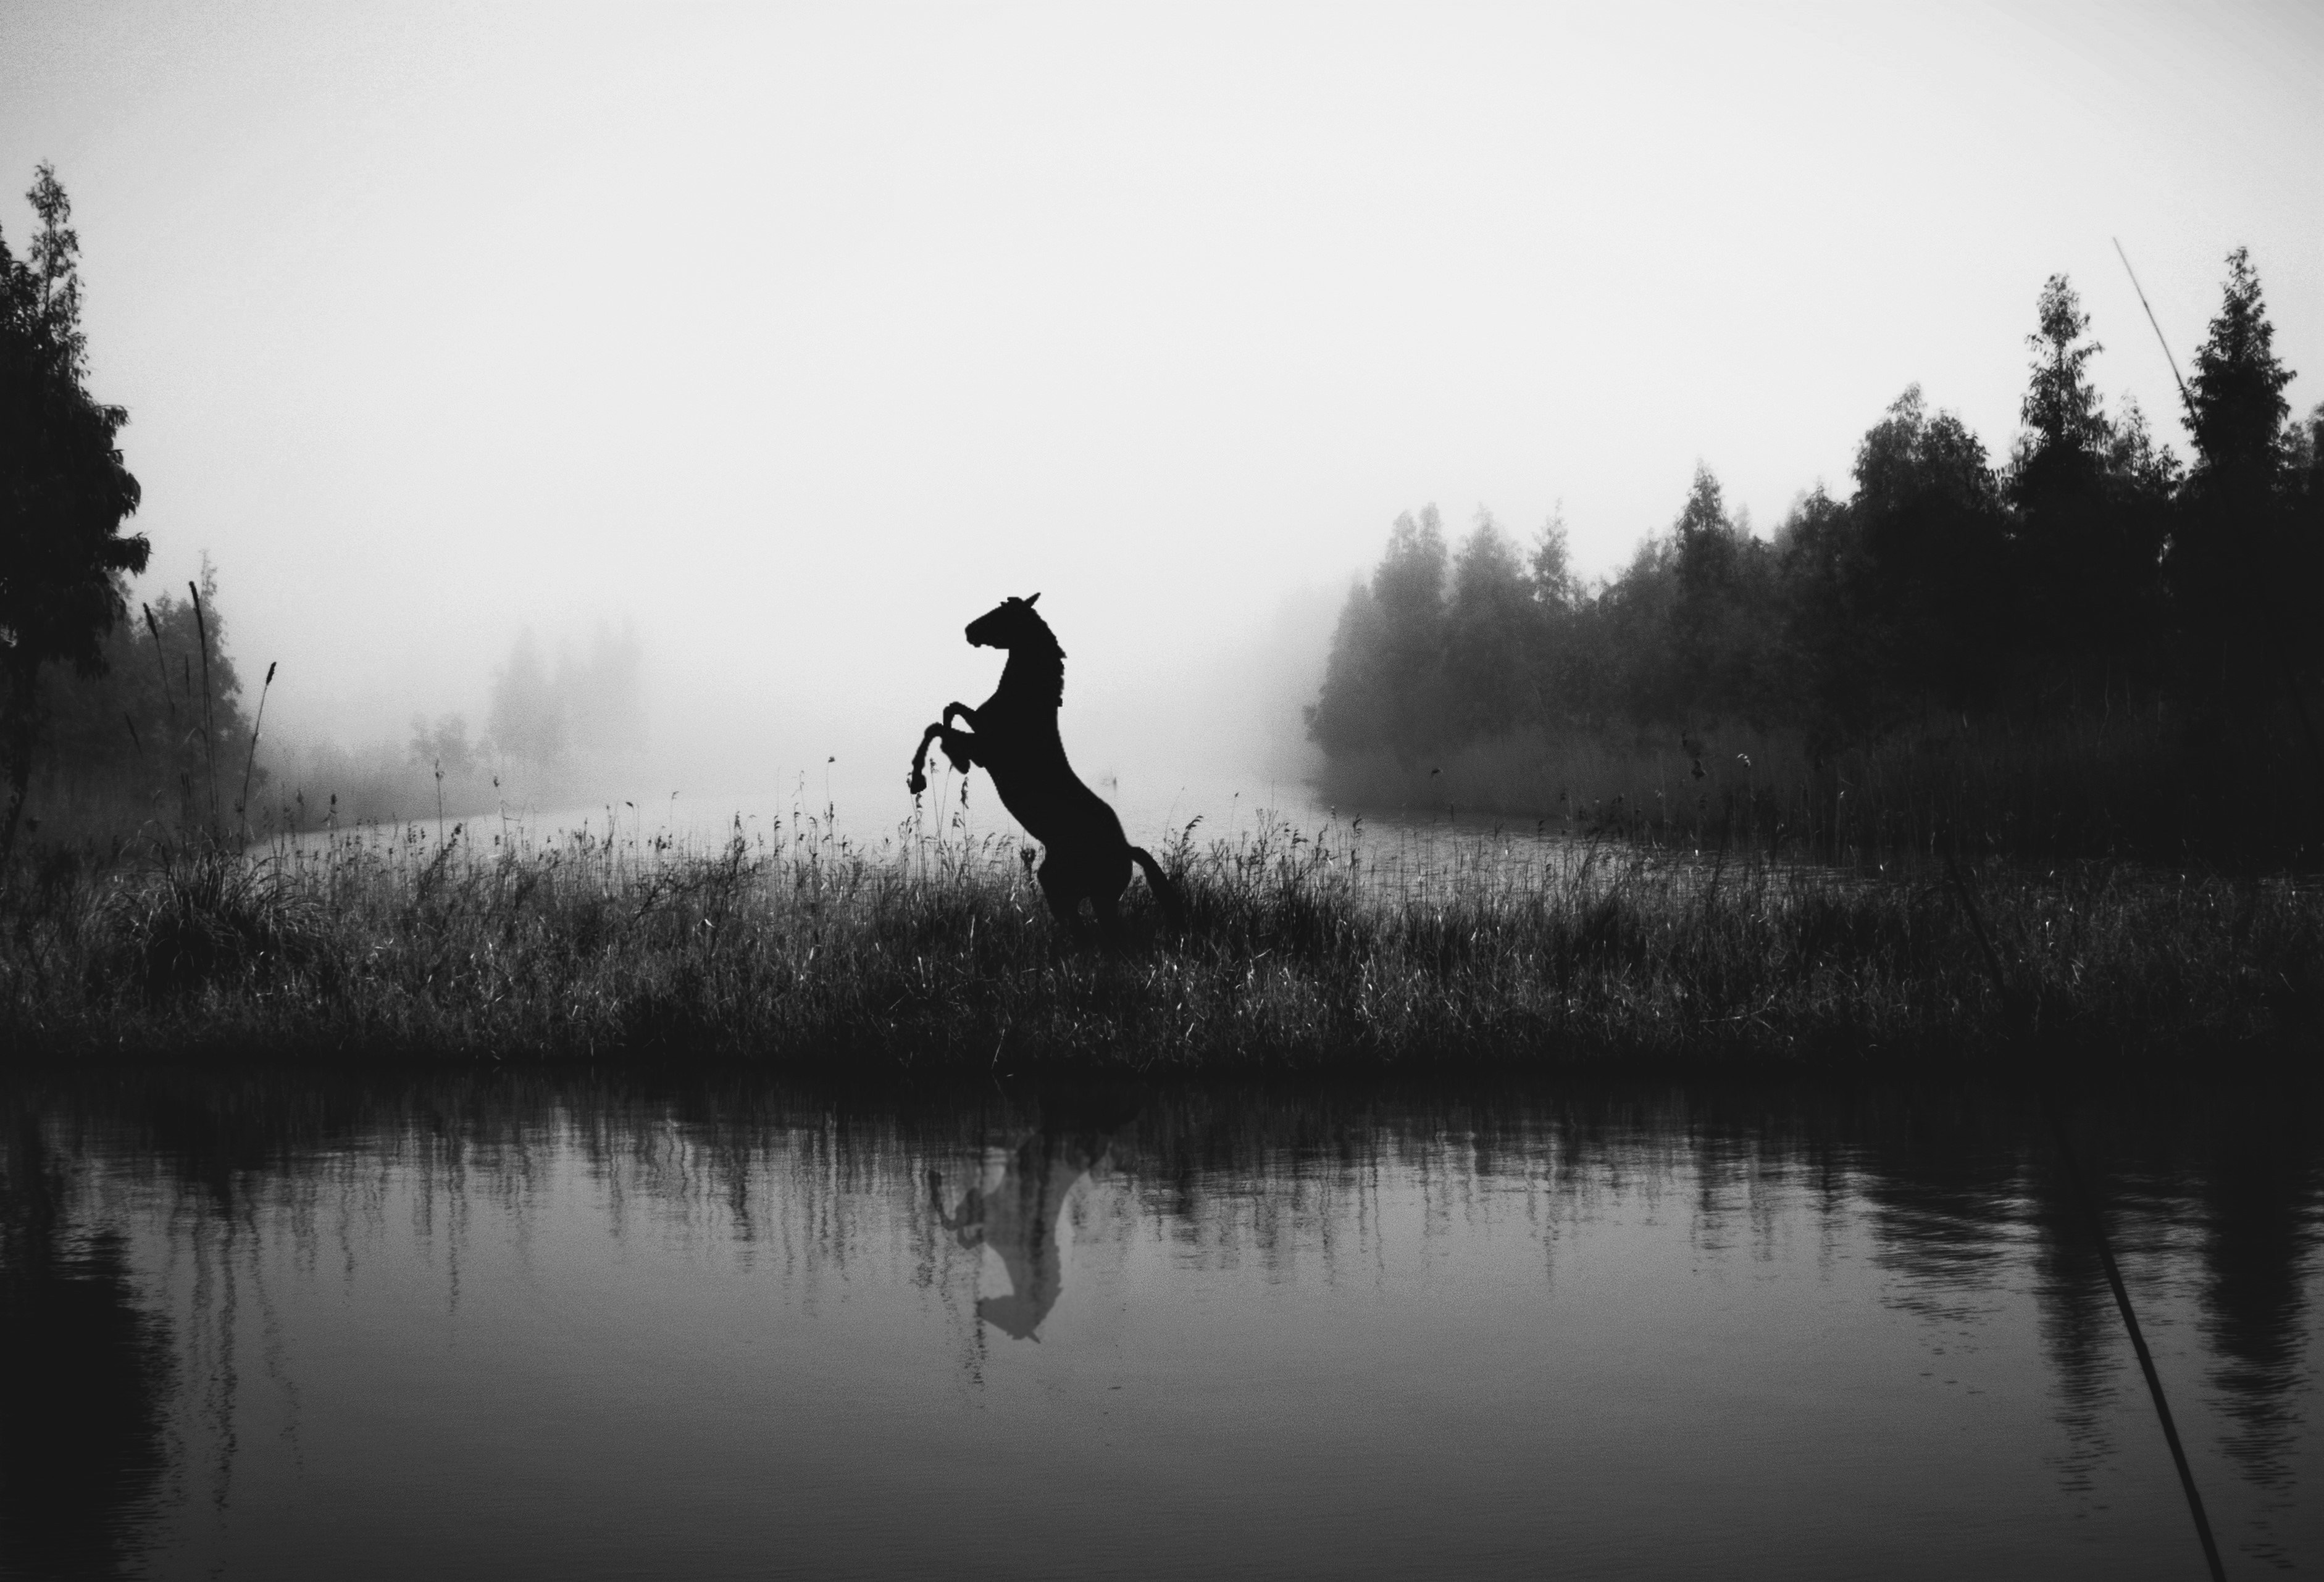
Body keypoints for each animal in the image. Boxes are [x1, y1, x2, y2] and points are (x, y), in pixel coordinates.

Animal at [908, 593, 1182, 935]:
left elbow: (936, 727)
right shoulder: (980, 731)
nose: (969, 630)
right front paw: (955, 761)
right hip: (1063, 888)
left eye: (1003, 613)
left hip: (1095, 896)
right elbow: (951, 711)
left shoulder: (986, 749)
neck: (1026, 702)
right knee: (1078, 926)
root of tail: (1127, 849)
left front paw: (923, 776)